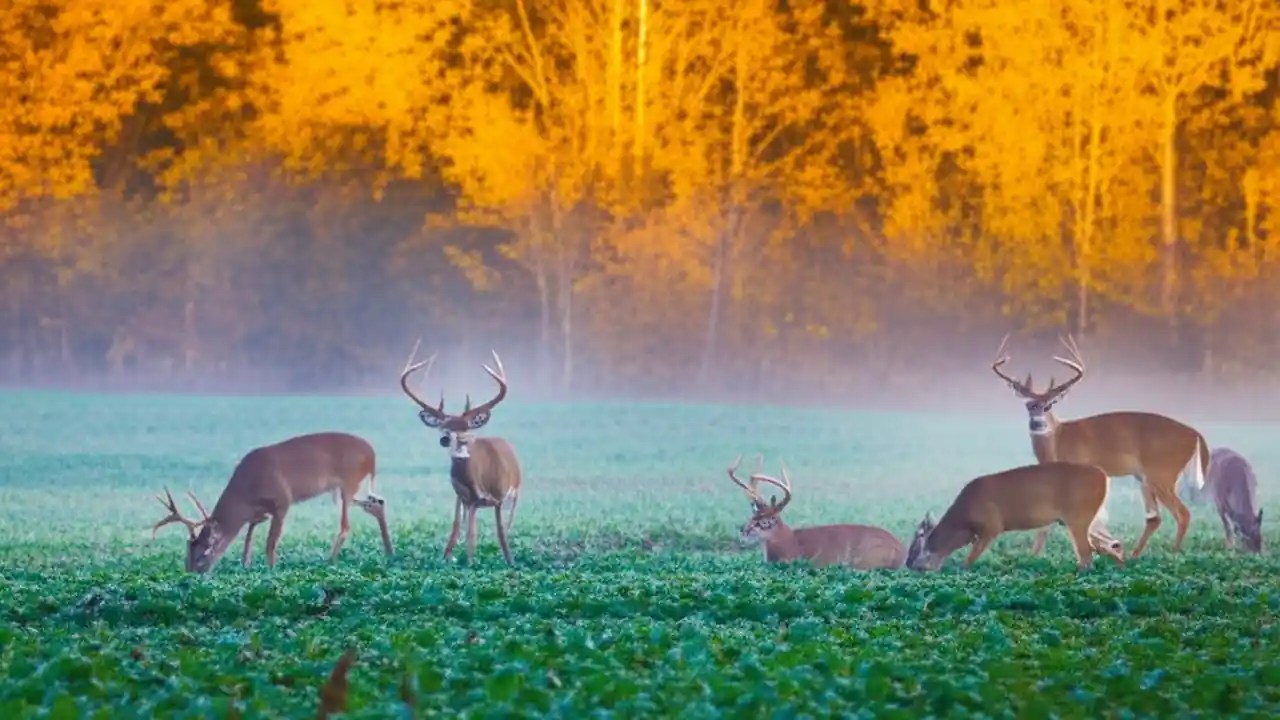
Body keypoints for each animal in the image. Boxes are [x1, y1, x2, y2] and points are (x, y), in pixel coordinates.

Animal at [151, 431, 392, 574]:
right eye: (187, 554)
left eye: (205, 552)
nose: (192, 574)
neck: (246, 489)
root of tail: (372, 454)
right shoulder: (258, 512)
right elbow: (249, 536)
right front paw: (246, 564)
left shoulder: (282, 501)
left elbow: (270, 542)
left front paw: (271, 571)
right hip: (352, 491)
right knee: (378, 503)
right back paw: (389, 553)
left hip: (348, 484)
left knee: (346, 525)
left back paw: (328, 561)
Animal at [398, 339, 522, 567]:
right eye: (444, 430)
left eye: (466, 430)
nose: (448, 441)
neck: (479, 481)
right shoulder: (465, 498)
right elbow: (462, 532)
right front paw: (460, 560)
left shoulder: (497, 498)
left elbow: (499, 533)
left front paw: (508, 561)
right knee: (461, 527)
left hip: (514, 494)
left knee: (507, 525)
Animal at [727, 455, 906, 570]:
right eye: (752, 516)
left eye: (764, 522)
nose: (742, 531)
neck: (791, 543)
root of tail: (901, 551)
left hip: (864, 561)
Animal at [906, 461, 1126, 572]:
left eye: (917, 539)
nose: (908, 563)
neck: (963, 520)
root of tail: (1105, 477)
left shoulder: (993, 524)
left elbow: (970, 559)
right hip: (1086, 520)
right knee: (1111, 544)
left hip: (1078, 516)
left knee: (1087, 553)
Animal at [991, 333, 1209, 559]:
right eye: (1028, 405)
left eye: (1049, 405)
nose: (1037, 424)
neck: (1057, 443)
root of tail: (1196, 435)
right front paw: (1035, 554)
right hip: (1145, 476)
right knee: (1155, 517)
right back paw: (1134, 555)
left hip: (1163, 472)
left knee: (1182, 513)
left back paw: (1173, 554)